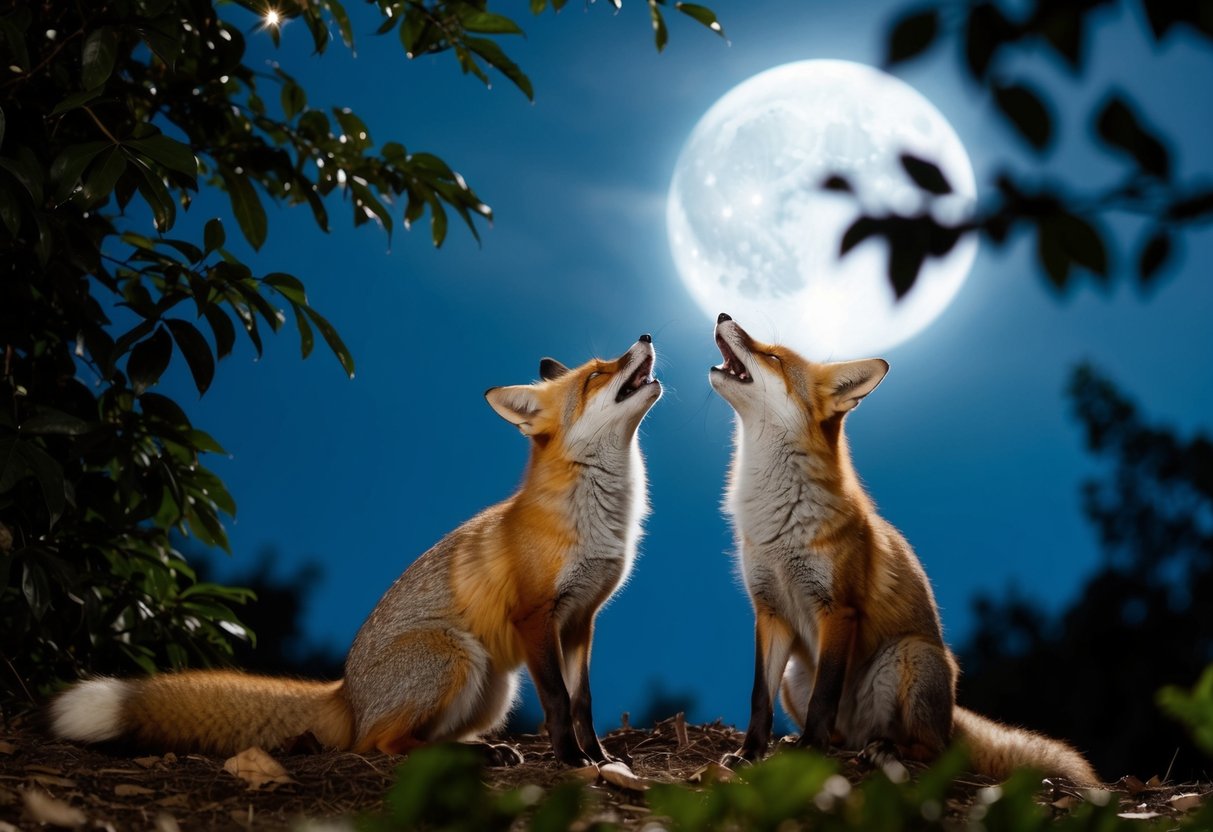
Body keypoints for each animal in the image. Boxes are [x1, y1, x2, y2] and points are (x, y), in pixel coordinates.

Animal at [50, 335, 662, 767]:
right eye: (597, 374)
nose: (647, 335)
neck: (600, 519)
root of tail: (347, 693)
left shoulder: (581, 618)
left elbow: (583, 703)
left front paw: (602, 758)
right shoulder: (537, 616)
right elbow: (558, 700)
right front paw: (570, 762)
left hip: (493, 688)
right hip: (453, 656)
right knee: (378, 744)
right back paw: (472, 755)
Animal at [708, 313, 1098, 785]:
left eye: (774, 357)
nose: (723, 315)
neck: (776, 522)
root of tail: (951, 715)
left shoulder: (839, 609)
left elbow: (825, 697)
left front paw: (810, 753)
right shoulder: (770, 611)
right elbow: (757, 699)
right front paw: (750, 753)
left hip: (910, 656)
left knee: (934, 749)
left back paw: (883, 750)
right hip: (797, 677)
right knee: (847, 734)